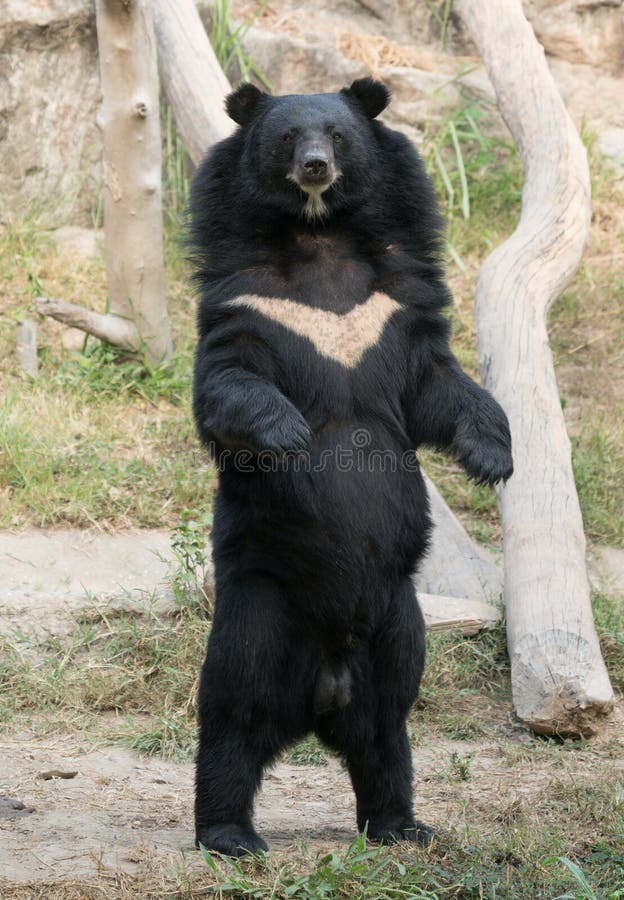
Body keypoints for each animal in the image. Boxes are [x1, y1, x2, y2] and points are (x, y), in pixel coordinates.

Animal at [189, 78, 513, 857]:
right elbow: (228, 380)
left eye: (336, 136)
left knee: (387, 729)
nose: (314, 166)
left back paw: (401, 824)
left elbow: (440, 384)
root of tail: (322, 692)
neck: (317, 237)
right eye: (287, 137)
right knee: (234, 715)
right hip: (263, 605)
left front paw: (494, 458)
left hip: (398, 621)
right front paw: (289, 432)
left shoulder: (393, 303)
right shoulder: (249, 300)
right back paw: (229, 834)